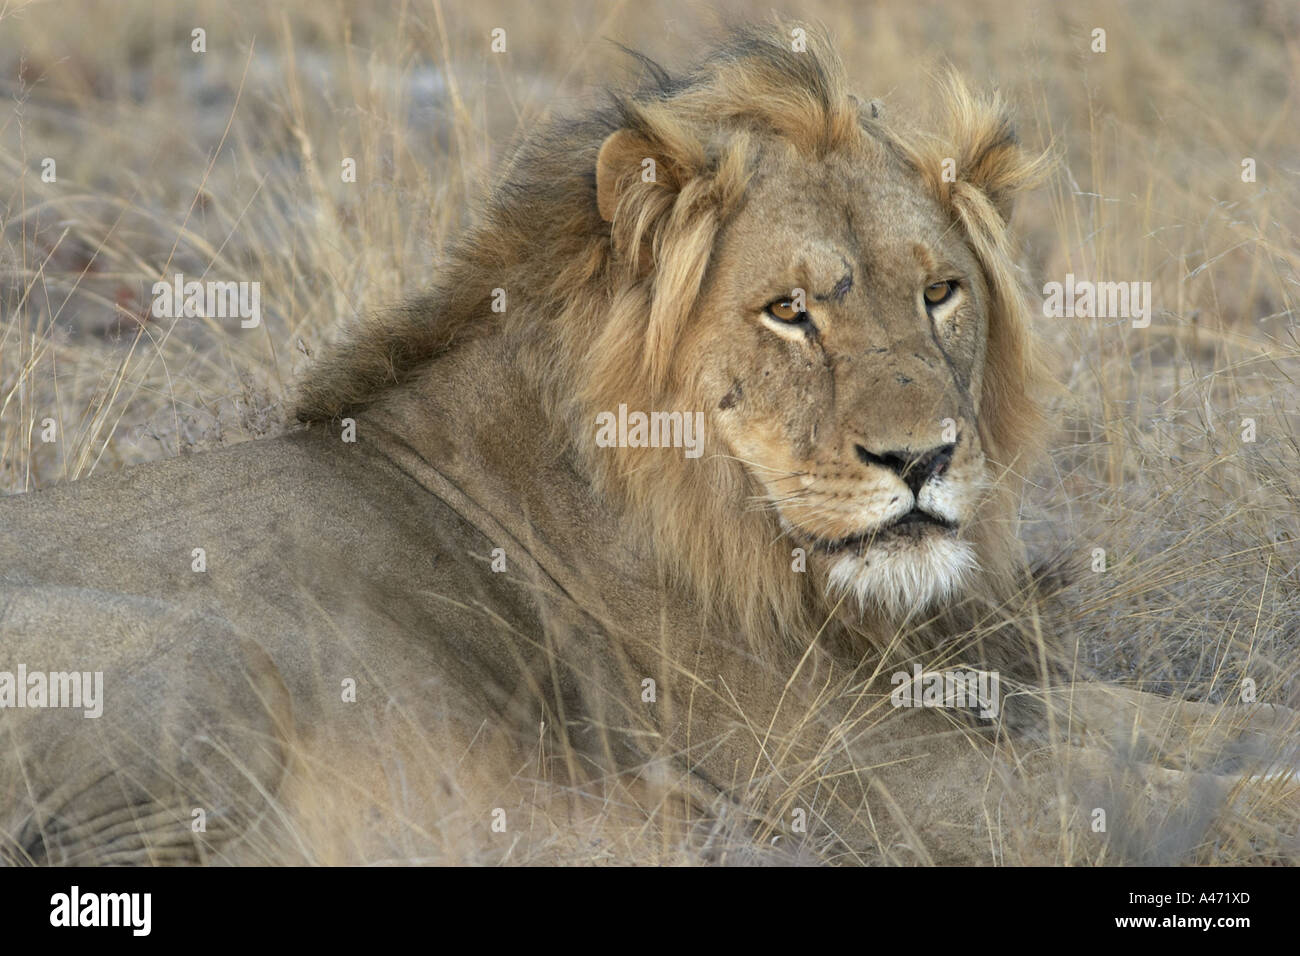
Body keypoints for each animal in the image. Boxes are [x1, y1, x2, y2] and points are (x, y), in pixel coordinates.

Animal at [2, 24, 1296, 866]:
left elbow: (1186, 727)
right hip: (202, 662)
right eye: (789, 310)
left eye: (939, 292)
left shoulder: (962, 683)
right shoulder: (876, 773)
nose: (924, 459)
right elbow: (1168, 800)